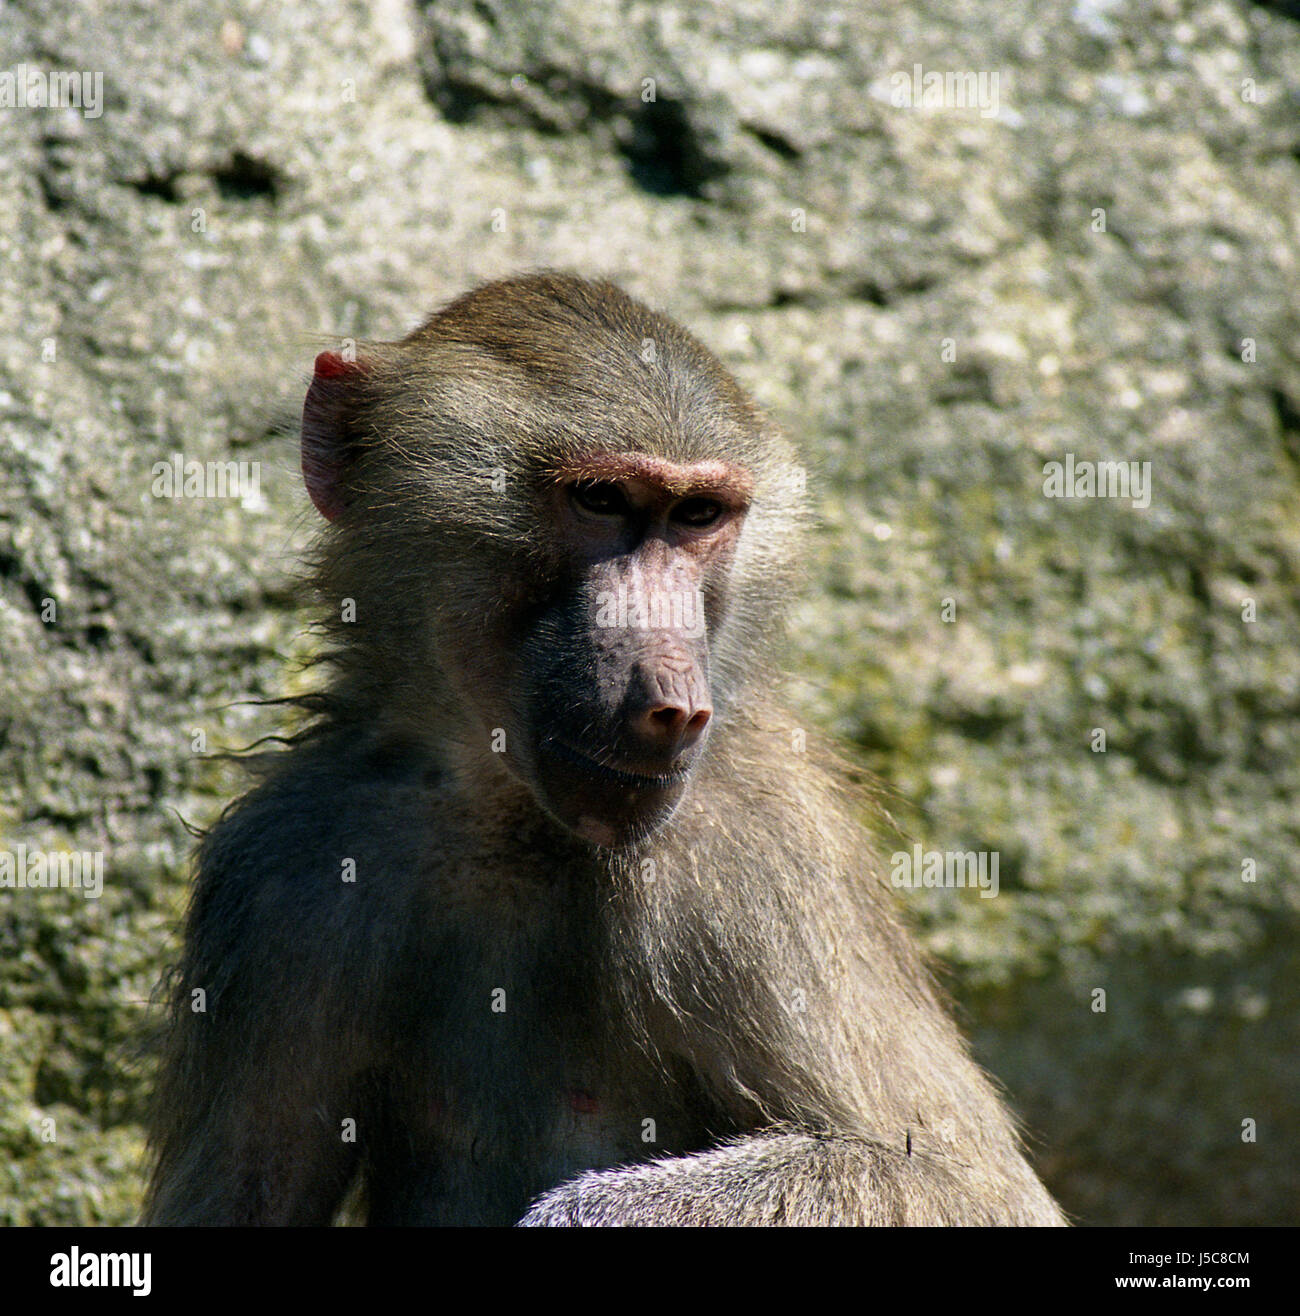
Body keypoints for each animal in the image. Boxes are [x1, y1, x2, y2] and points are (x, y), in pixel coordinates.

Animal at [143, 272, 1065, 1226]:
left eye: (698, 515)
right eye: (601, 501)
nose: (673, 705)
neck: (503, 814)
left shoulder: (756, 852)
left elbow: (960, 1183)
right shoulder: (283, 862)